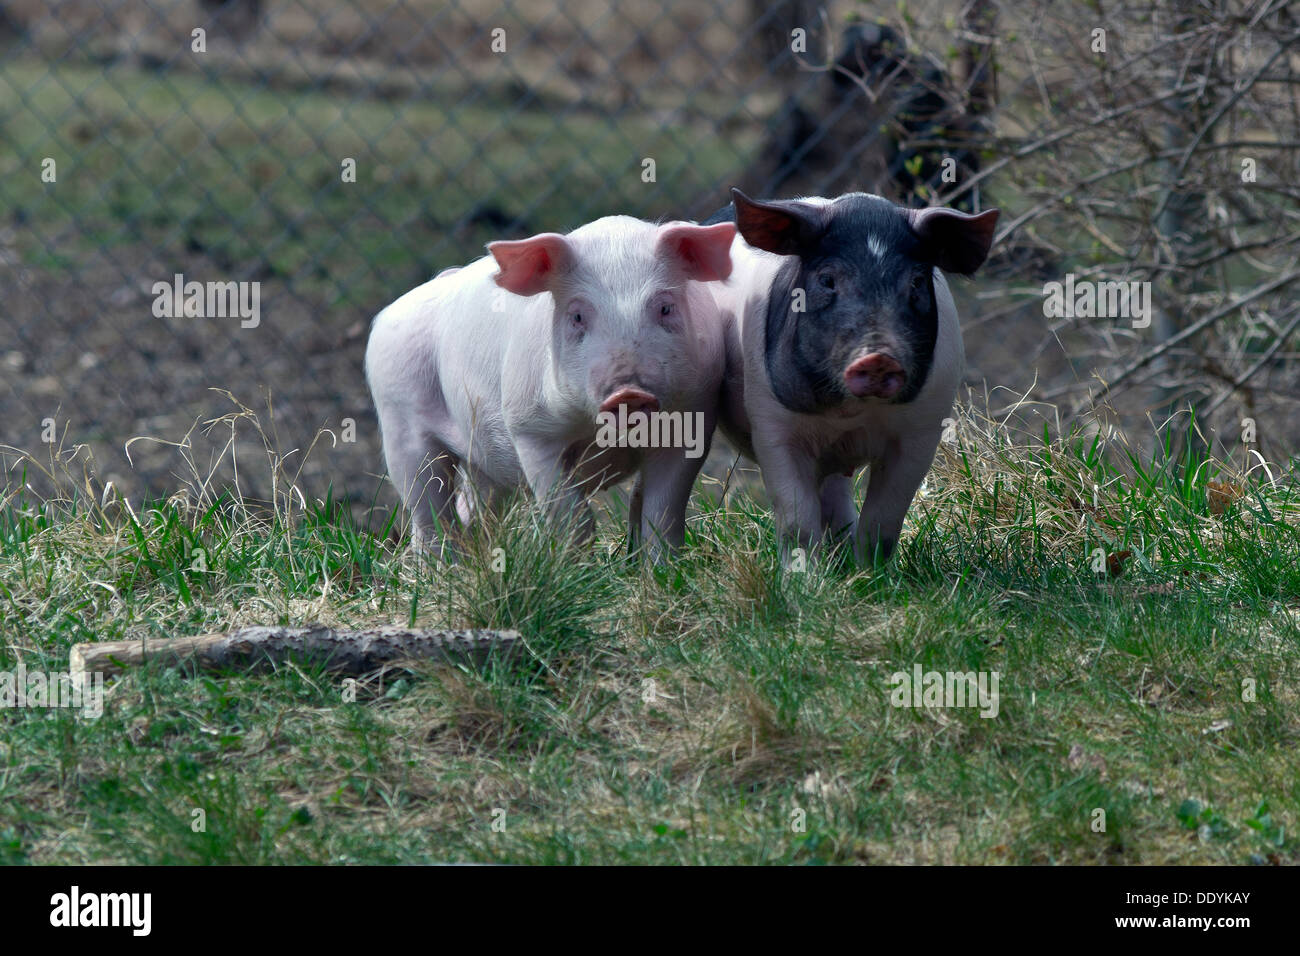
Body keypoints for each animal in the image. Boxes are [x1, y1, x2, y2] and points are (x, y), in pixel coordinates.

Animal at [364, 216, 737, 560]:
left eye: (665, 307)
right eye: (577, 316)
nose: (628, 393)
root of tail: (383, 317)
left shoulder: (693, 421)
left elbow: (662, 515)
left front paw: (662, 570)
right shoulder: (530, 429)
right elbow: (572, 518)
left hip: (483, 464)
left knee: (470, 512)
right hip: (401, 426)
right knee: (427, 517)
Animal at [703, 188, 998, 563]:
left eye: (916, 282)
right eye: (827, 280)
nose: (877, 357)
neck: (851, 414)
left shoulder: (923, 429)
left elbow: (884, 522)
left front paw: (872, 573)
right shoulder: (771, 425)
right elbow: (797, 523)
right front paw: (803, 577)